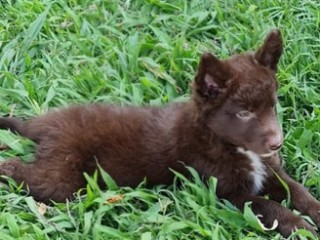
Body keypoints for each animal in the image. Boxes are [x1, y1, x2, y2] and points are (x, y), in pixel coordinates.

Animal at [0, 29, 320, 236]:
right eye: (243, 113)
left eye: (273, 105)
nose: (277, 144)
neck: (224, 142)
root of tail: (39, 124)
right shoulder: (226, 193)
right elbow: (269, 206)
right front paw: (302, 228)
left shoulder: (270, 170)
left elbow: (298, 191)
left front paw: (314, 211)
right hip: (63, 174)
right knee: (24, 172)